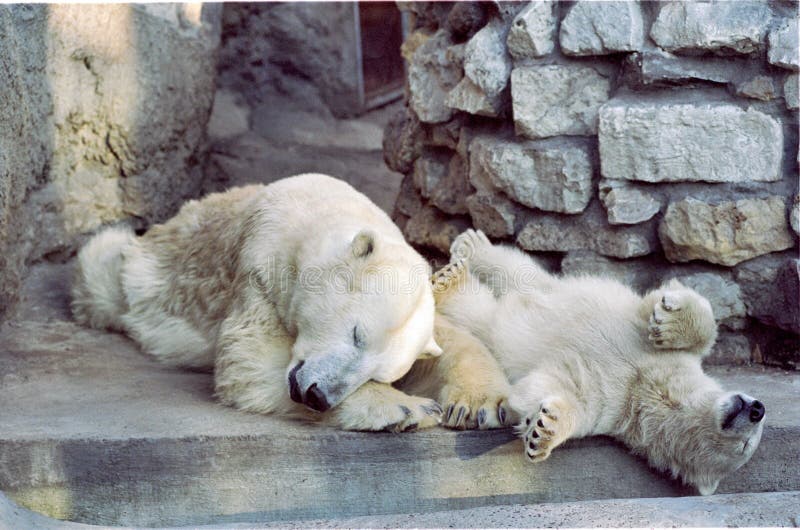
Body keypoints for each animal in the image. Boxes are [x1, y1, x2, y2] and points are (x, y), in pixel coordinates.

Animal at [72, 173, 460, 431]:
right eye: (357, 334)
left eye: (380, 373)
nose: (318, 396)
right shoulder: (259, 265)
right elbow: (249, 360)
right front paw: (411, 409)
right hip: (131, 279)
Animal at [430, 229, 765, 495]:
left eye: (745, 446)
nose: (757, 409)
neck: (654, 387)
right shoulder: (657, 346)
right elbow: (694, 319)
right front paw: (668, 322)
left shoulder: (619, 411)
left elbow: (563, 394)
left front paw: (542, 430)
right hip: (551, 289)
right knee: (519, 272)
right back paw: (467, 249)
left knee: (480, 315)